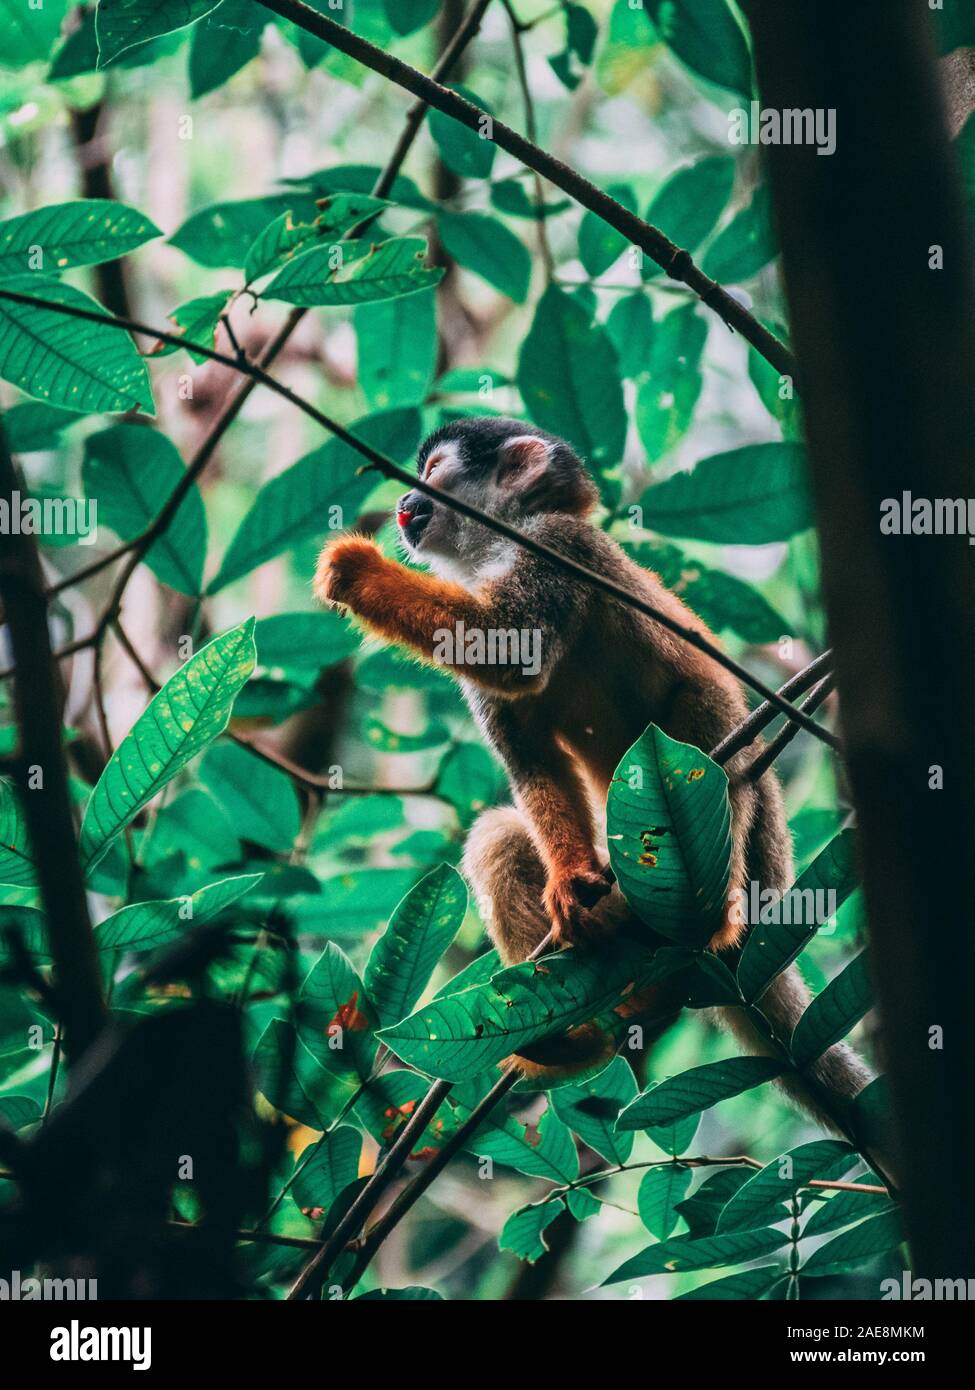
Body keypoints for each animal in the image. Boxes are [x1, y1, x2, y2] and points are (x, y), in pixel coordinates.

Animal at [314, 417, 880, 1156]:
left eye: (431, 471)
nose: (406, 503)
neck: (497, 544)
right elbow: (531, 759)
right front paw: (569, 880)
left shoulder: (557, 547)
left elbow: (509, 645)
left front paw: (354, 567)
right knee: (500, 837)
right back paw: (578, 1028)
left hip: (759, 845)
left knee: (699, 731)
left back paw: (712, 915)